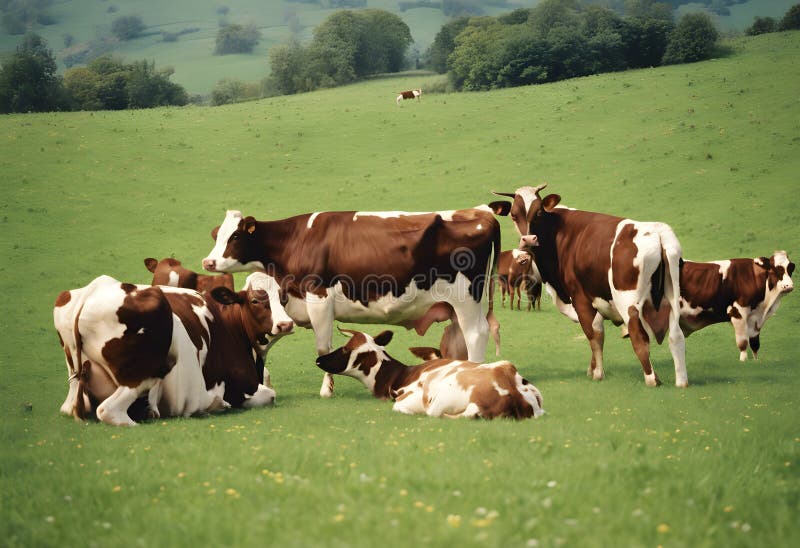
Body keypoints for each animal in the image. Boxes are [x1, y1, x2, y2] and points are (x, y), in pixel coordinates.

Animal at [53, 273, 293, 426]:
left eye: (283, 298)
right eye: (255, 300)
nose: (286, 324)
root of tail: (91, 293)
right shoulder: (242, 386)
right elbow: (270, 394)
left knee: (70, 407)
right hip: (146, 370)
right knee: (109, 410)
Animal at [202, 204, 510, 397]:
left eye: (236, 235)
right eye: (217, 236)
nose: (208, 261)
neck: (296, 240)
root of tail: (482, 213)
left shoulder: (318, 295)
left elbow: (322, 346)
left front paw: (326, 390)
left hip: (466, 298)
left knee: (475, 334)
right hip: (455, 307)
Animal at [493, 184, 687, 387]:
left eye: (538, 212)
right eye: (514, 215)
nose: (529, 239)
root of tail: (656, 231)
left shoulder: (580, 299)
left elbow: (593, 335)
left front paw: (598, 374)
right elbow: (597, 332)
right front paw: (592, 369)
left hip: (627, 302)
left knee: (639, 338)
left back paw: (651, 379)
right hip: (673, 297)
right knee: (677, 336)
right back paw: (681, 382)